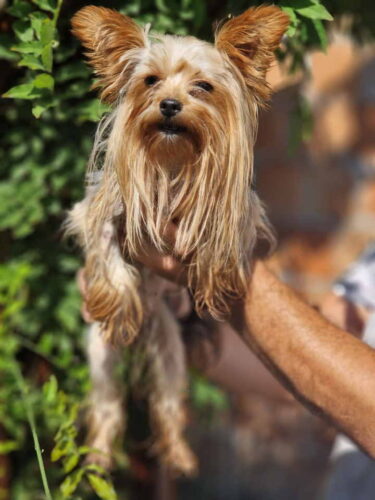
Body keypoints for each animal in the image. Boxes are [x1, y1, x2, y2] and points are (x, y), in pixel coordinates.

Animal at [67, 3, 290, 472]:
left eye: (203, 86)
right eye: (150, 81)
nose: (169, 104)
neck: (170, 161)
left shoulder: (238, 211)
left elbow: (225, 239)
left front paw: (213, 275)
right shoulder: (99, 212)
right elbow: (106, 252)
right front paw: (115, 303)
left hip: (171, 349)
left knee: (167, 401)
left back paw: (180, 456)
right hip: (101, 356)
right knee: (107, 403)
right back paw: (97, 458)